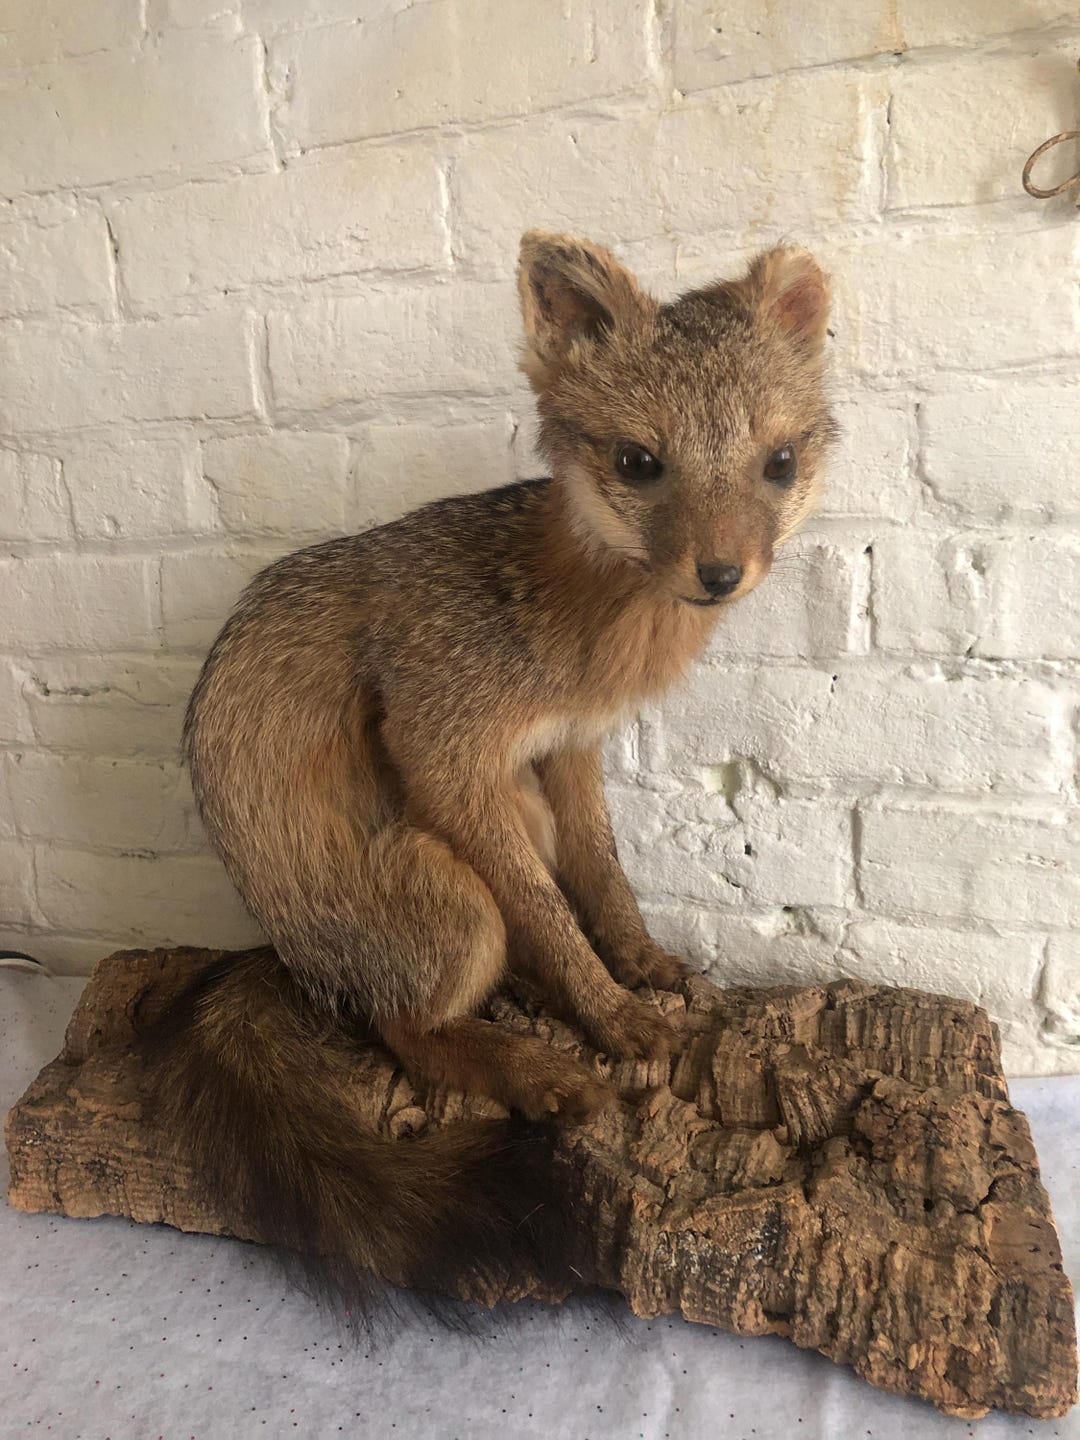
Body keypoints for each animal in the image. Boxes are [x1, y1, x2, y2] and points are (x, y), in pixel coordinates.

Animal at [143, 230, 835, 1305]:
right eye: (640, 462)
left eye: (780, 462)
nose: (721, 574)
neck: (567, 614)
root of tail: (293, 961)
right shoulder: (444, 754)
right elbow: (547, 912)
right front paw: (612, 1016)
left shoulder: (565, 750)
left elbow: (599, 877)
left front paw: (636, 967)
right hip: (449, 892)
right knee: (407, 1028)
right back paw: (531, 1068)